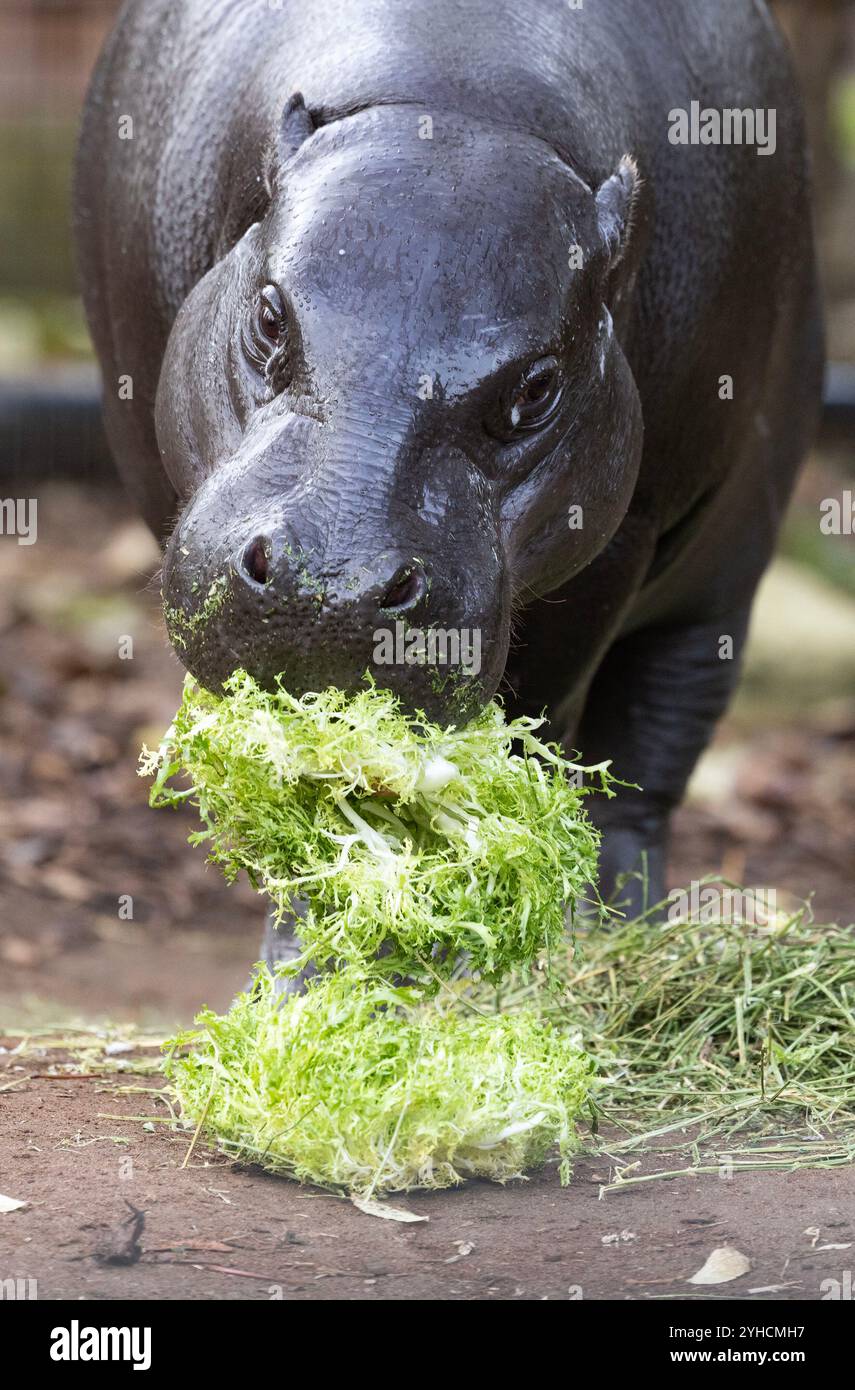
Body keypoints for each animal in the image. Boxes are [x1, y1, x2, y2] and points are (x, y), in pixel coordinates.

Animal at [74, 0, 823, 942]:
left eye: (537, 387)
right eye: (270, 313)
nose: (329, 586)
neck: (457, 100)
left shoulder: (617, 546)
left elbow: (536, 734)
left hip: (721, 580)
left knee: (646, 763)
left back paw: (623, 934)